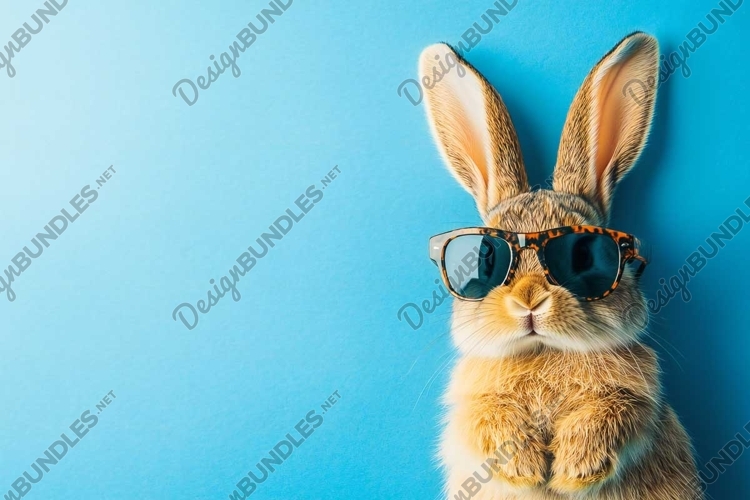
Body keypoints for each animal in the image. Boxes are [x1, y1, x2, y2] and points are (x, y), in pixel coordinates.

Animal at [418, 32, 703, 500]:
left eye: (584, 255)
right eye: (485, 258)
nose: (530, 300)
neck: (545, 350)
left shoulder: (637, 400)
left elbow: (609, 416)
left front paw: (574, 470)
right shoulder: (473, 405)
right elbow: (490, 420)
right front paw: (526, 470)